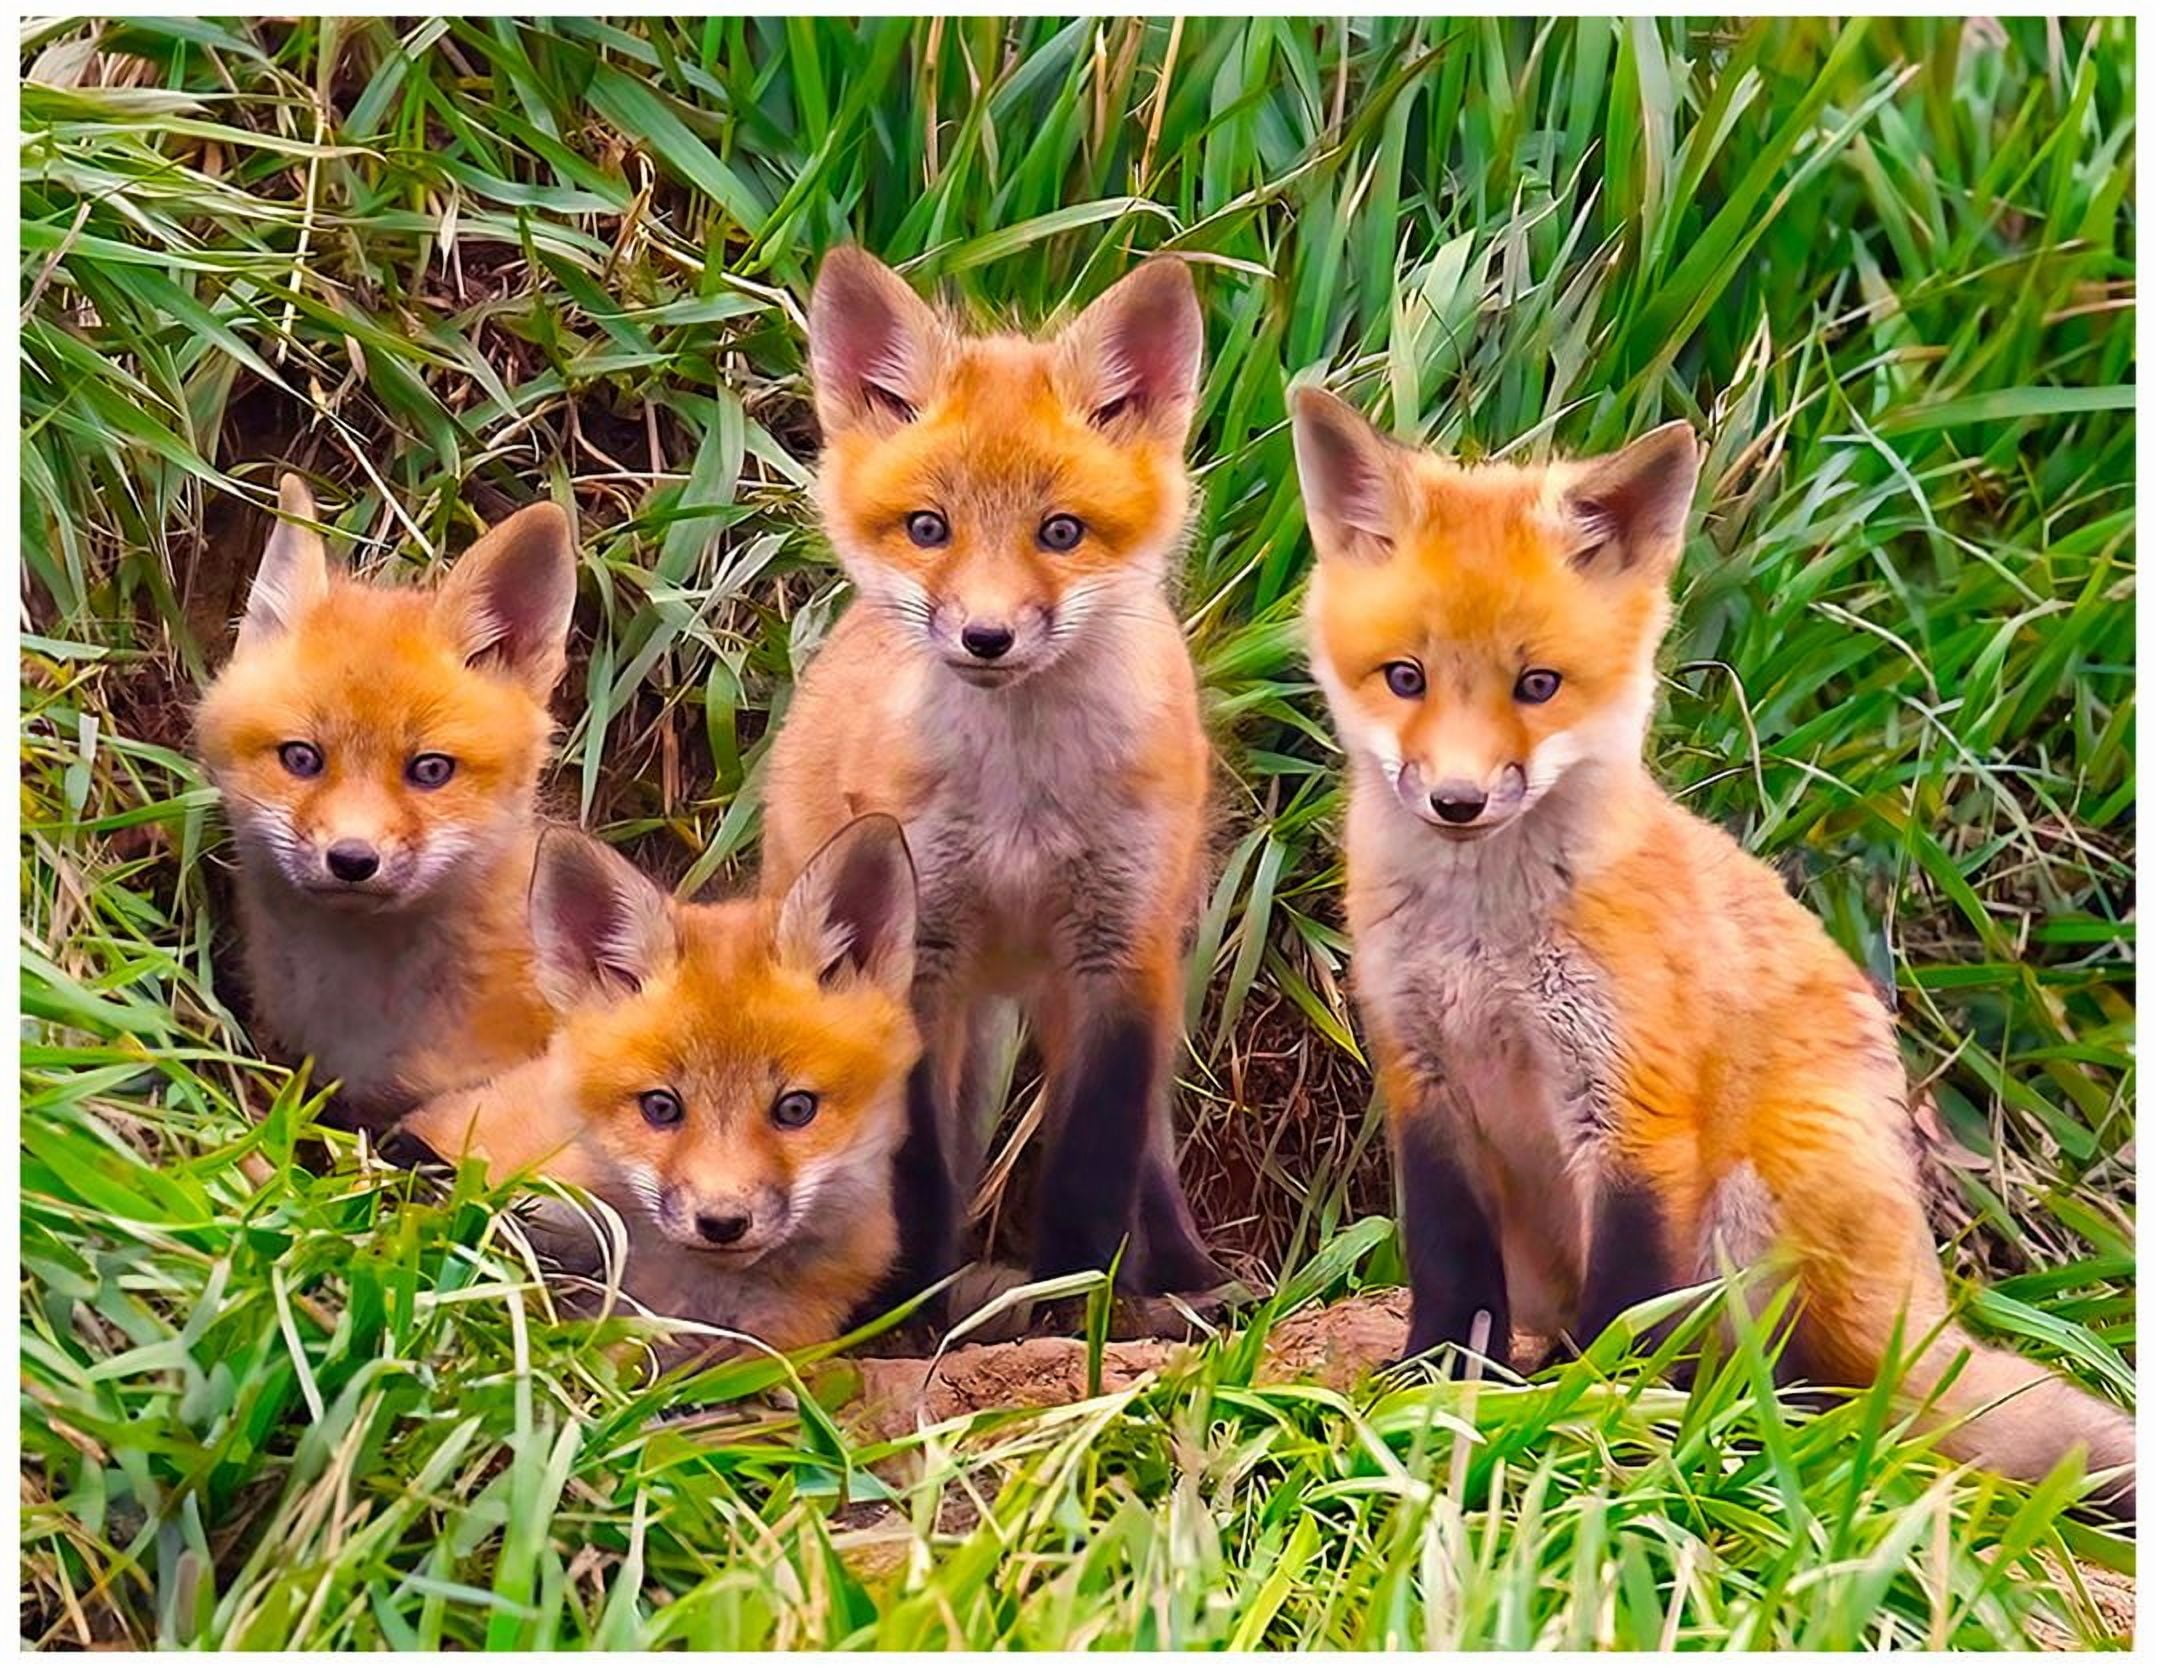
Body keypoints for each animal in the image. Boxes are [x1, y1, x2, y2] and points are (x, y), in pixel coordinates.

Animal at [759, 246, 1228, 1311]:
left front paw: (1075, 1303)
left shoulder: (1118, 954)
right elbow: (917, 1169)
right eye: (928, 527)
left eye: (1061, 533)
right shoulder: (918, 953)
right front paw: (904, 1311)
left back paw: (1185, 1272)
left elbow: (1095, 1160)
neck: (1025, 798)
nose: (986, 636)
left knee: (1152, 1142)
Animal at [1291, 386, 2135, 1521]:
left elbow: (1626, 1300)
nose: (1457, 802)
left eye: (1538, 684)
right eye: (1406, 677)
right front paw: (1439, 1378)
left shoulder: (1634, 1102)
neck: (1483, 941)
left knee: (1799, 1387)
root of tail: (1922, 1311)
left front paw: (1590, 1403)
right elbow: (1450, 1270)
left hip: (1756, 1197)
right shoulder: (1421, 1079)